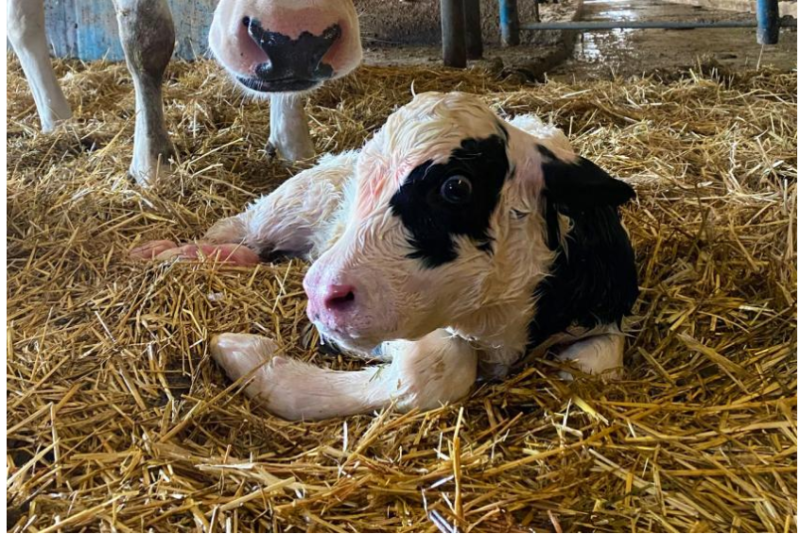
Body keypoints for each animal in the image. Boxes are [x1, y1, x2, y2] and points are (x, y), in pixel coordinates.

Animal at [7, 0, 362, 184]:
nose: (294, 42)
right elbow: (147, 37)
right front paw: (152, 162)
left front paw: (295, 147)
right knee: (22, 23)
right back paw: (57, 120)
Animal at [131, 91, 639, 421]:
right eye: (368, 178)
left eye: (456, 187)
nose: (320, 295)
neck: (502, 326)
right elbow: (441, 367)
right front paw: (247, 354)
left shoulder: (606, 313)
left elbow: (593, 366)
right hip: (297, 197)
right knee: (236, 228)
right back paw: (167, 253)